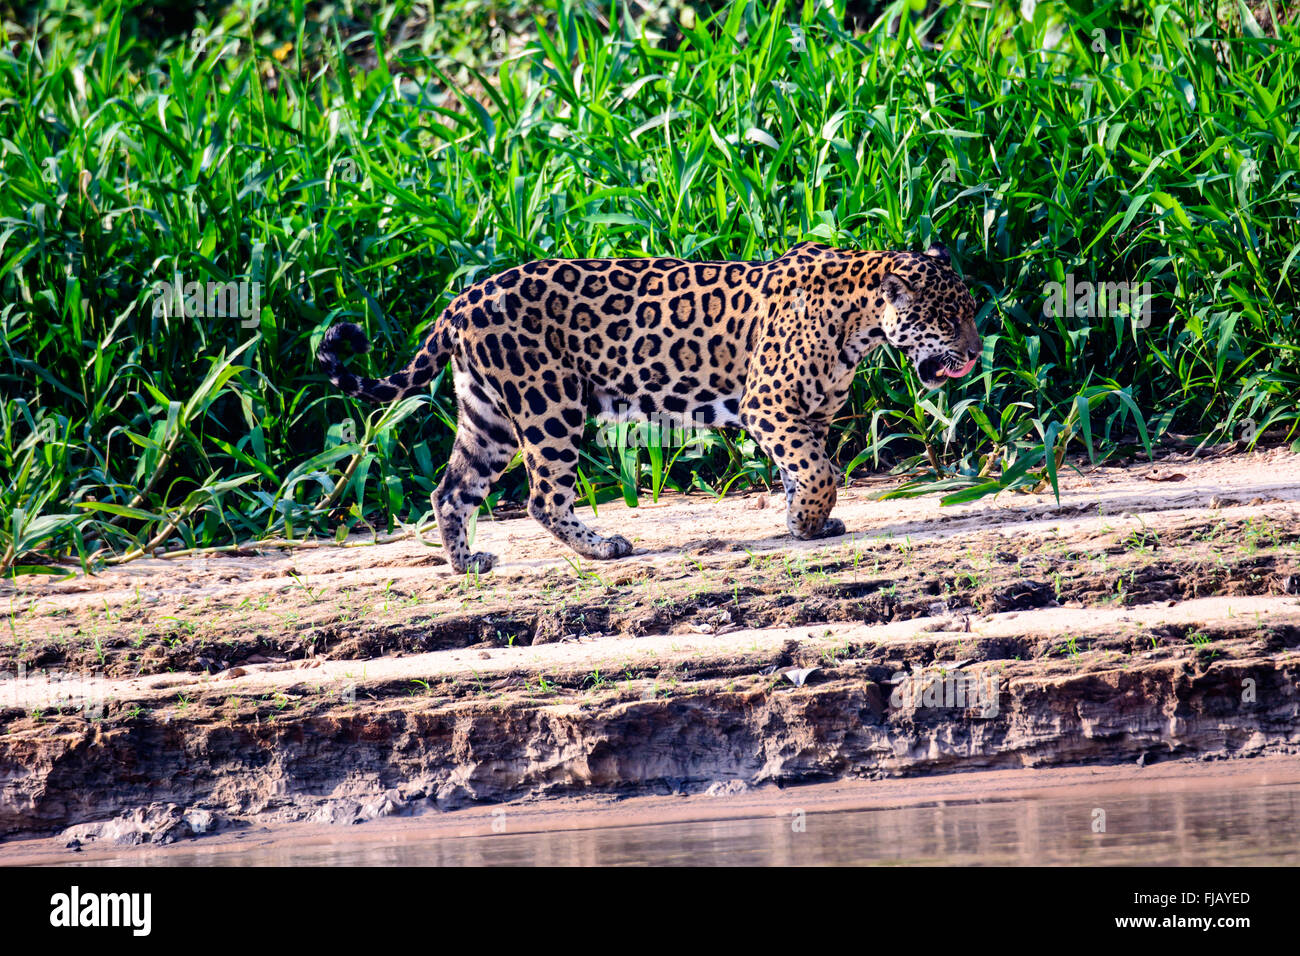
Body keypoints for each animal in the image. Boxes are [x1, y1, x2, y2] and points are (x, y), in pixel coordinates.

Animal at [318, 241, 981, 573]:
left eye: (970, 310)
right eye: (949, 318)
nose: (977, 353)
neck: (861, 316)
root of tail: (459, 301)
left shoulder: (804, 416)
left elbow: (806, 472)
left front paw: (805, 523)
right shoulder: (769, 405)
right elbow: (821, 473)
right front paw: (809, 521)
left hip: (488, 417)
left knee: (450, 489)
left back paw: (466, 563)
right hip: (548, 404)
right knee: (542, 496)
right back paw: (603, 547)